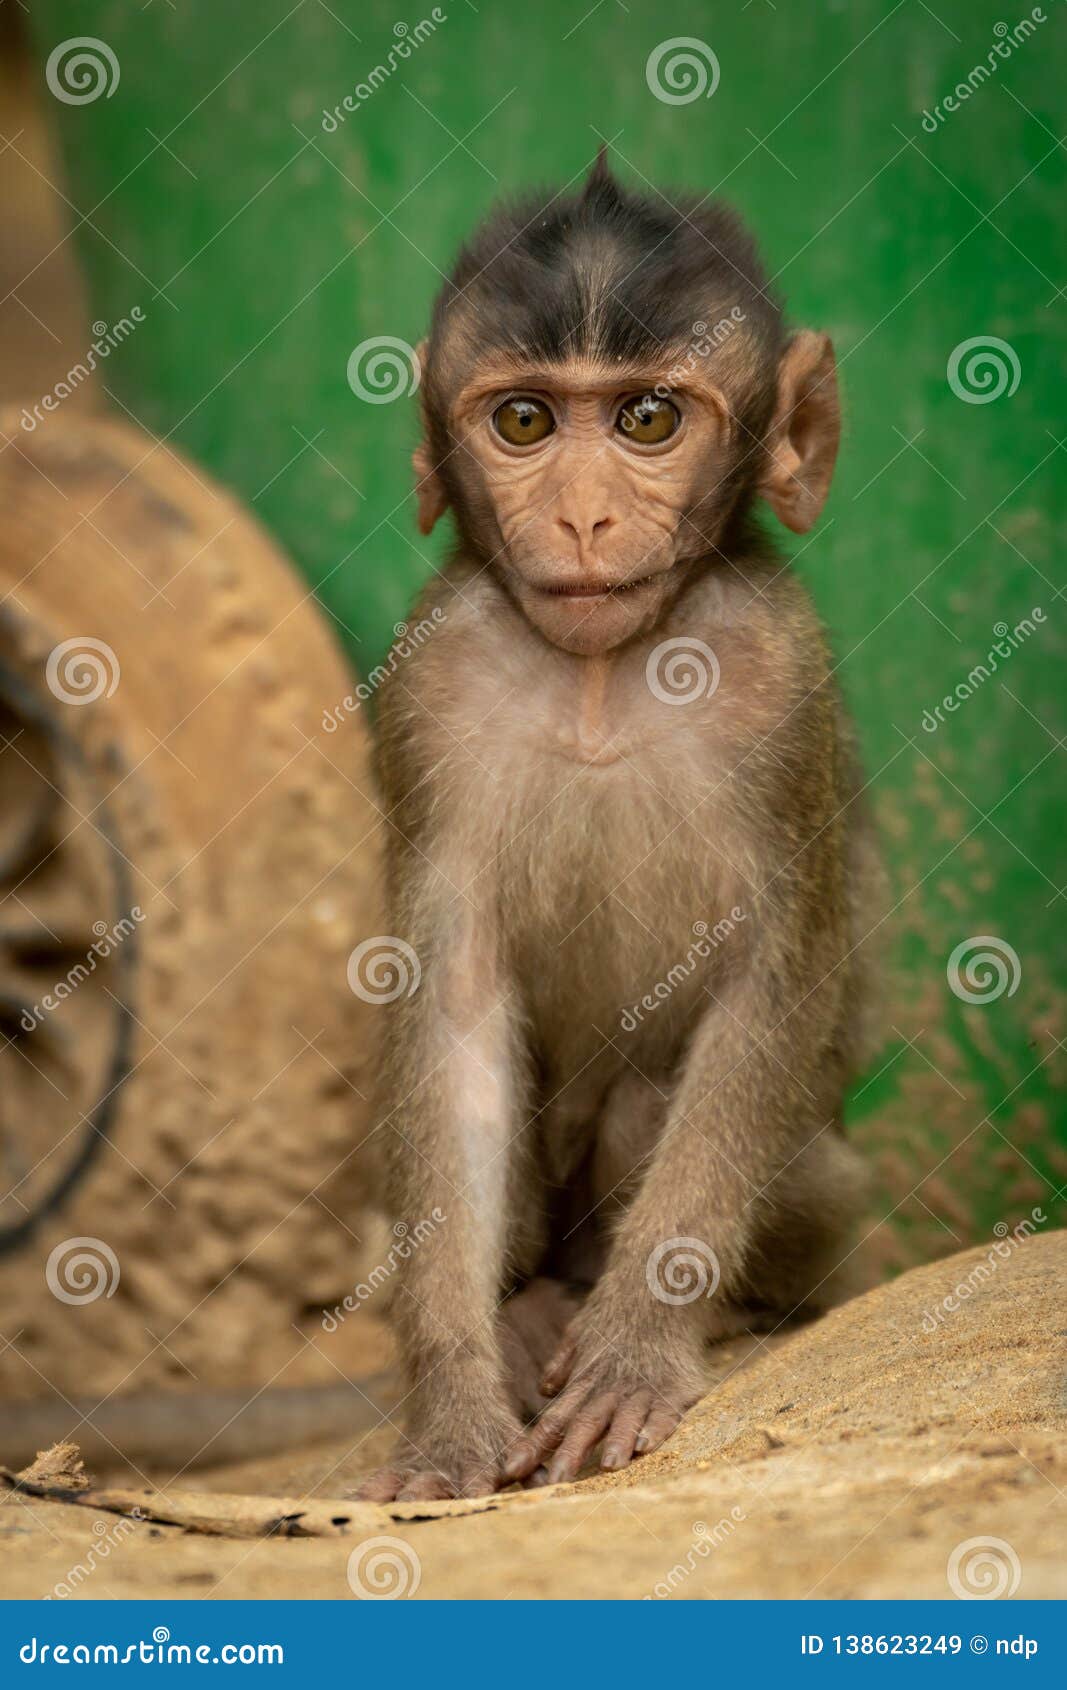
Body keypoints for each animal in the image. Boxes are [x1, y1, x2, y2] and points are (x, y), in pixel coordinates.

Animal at [354, 151, 885, 1506]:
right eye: (523, 424)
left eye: (646, 420)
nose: (586, 518)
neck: (600, 677)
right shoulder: (425, 682)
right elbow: (453, 1013)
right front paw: (450, 1402)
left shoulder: (781, 675)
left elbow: (778, 973)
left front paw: (635, 1353)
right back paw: (530, 1312)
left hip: (828, 1191)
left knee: (660, 1105)